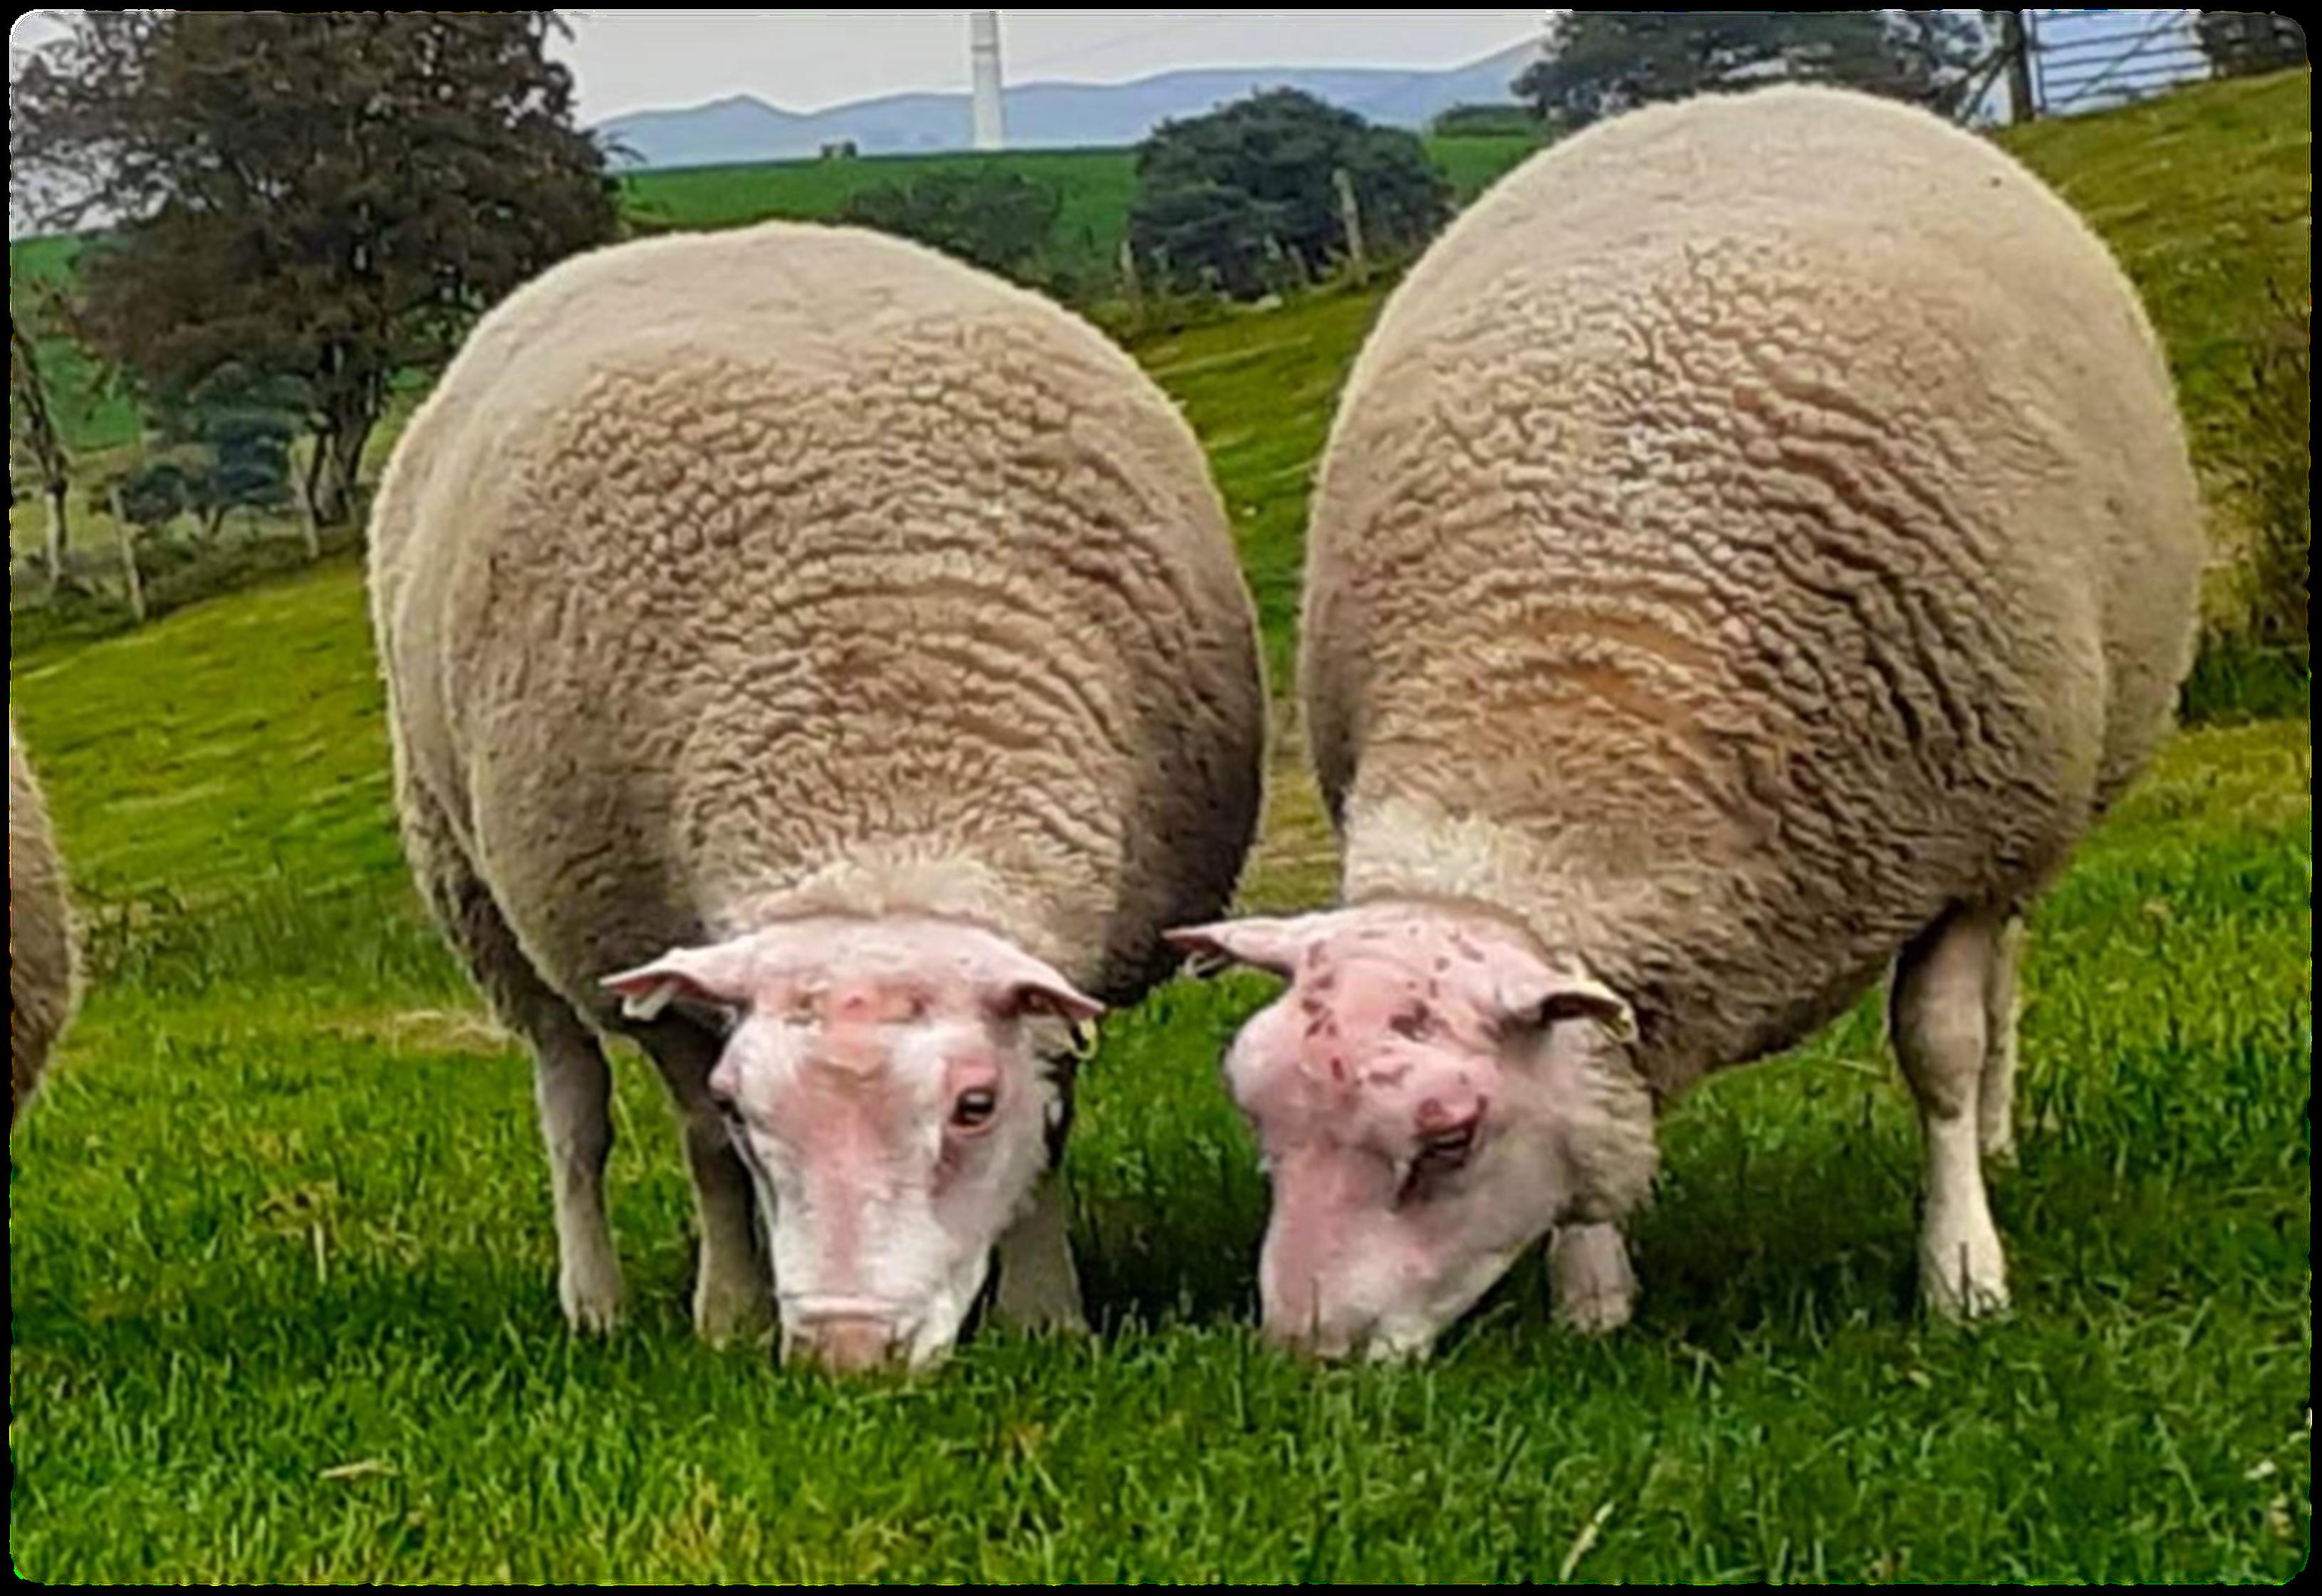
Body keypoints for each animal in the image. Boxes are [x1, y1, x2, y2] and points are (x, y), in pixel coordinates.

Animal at [367, 219, 1266, 1371]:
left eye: (974, 1105)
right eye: (748, 1105)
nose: (846, 1352)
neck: (880, 775)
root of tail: (703, 236)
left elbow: (1049, 1131)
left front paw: (1043, 1315)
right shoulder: (650, 962)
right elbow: (703, 1147)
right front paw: (730, 1314)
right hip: (475, 888)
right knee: (573, 1107)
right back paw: (595, 1303)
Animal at [1170, 84, 2204, 1360]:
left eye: (1450, 1138)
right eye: (1259, 1113)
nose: (1305, 1357)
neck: (1576, 670)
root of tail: (1762, 91)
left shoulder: (1970, 839)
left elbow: (1940, 1051)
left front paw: (1964, 1273)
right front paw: (1592, 1294)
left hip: (2033, 806)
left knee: (2002, 975)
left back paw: (2003, 1138)